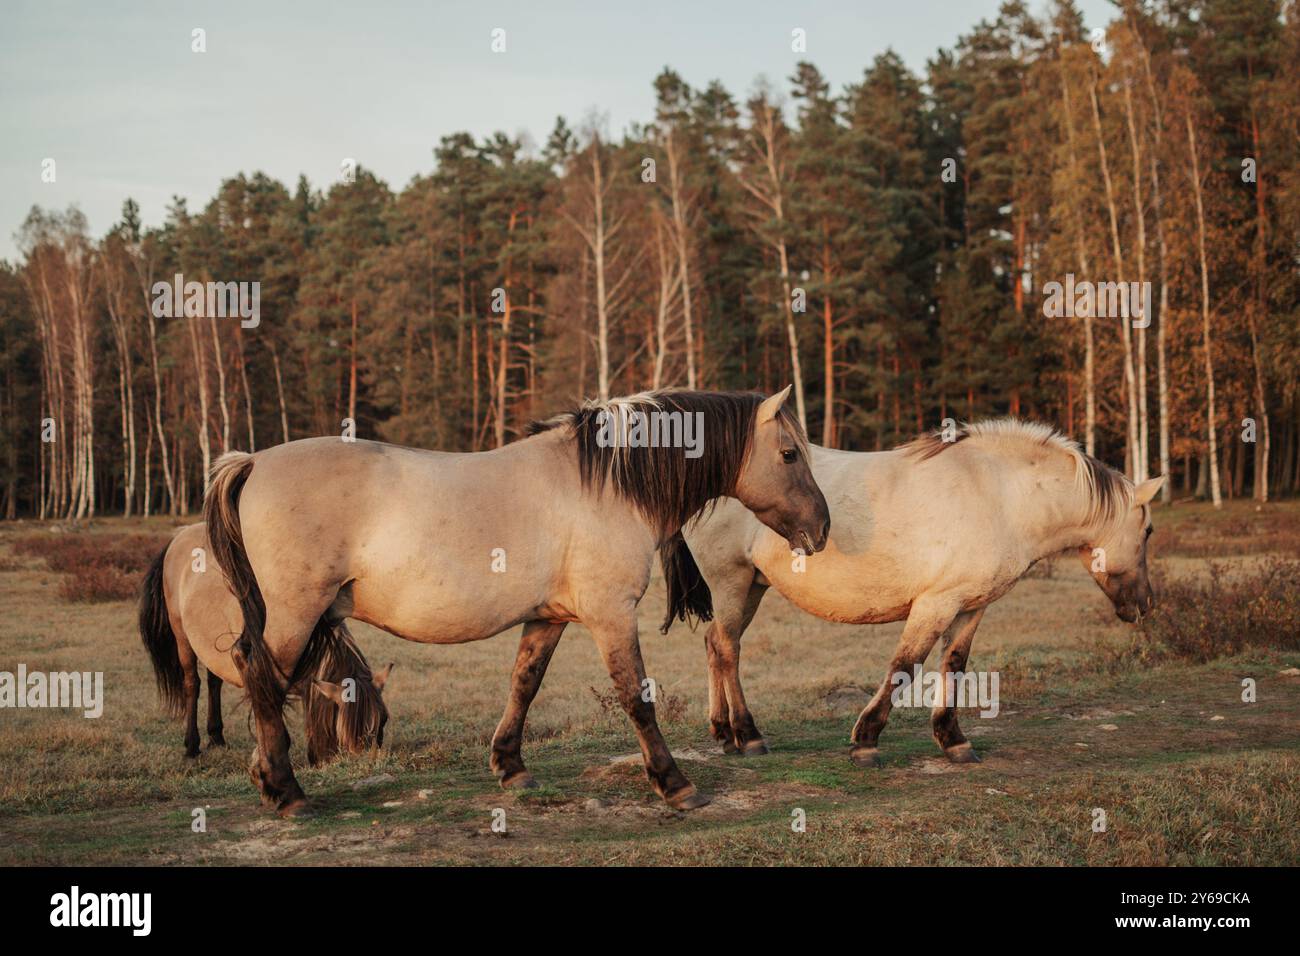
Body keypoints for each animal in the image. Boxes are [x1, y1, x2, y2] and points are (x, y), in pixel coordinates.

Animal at [139, 522, 392, 767]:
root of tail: (179, 537)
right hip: (182, 637)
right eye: (346, 732)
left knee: (214, 682)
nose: (365, 764)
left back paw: (217, 737)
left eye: (383, 720)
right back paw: (191, 746)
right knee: (192, 684)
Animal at [202, 387, 830, 816]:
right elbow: (637, 698)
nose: (821, 530)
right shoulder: (611, 615)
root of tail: (252, 461)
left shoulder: (549, 619)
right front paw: (674, 783)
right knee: (261, 677)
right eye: (790, 454)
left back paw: (269, 780)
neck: (606, 486)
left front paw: (510, 766)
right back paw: (286, 791)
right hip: (295, 615)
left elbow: (523, 684)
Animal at [660, 418, 1165, 766]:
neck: (1000, 495)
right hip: (731, 581)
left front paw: (953, 740)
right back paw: (748, 736)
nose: (1144, 606)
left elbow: (953, 665)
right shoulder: (935, 603)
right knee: (727, 648)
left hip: (752, 587)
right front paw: (866, 741)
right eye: (1148, 531)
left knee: (717, 645)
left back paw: (723, 732)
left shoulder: (970, 606)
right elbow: (905, 666)